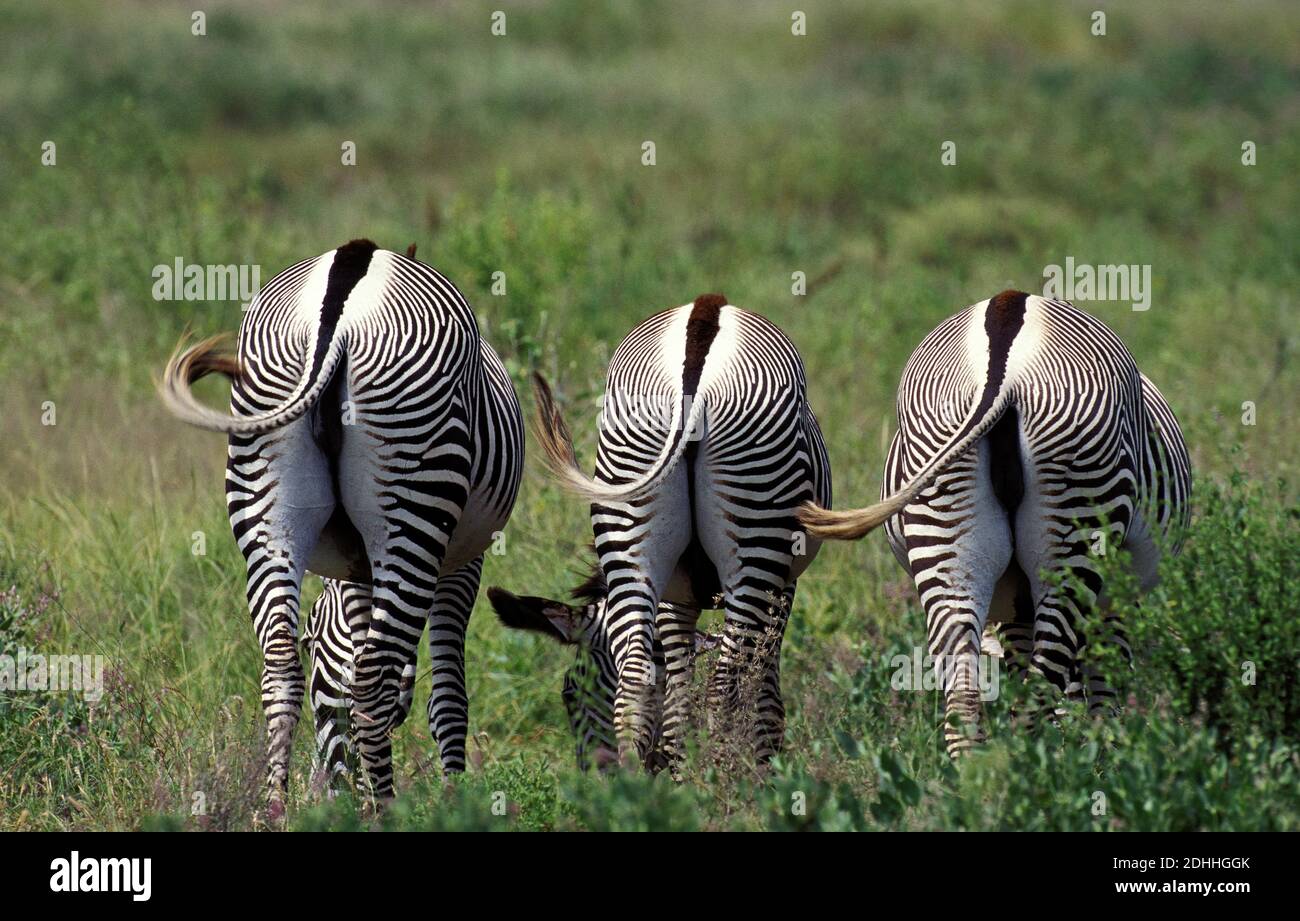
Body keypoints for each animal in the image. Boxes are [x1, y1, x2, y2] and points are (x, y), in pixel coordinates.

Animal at [160, 239, 524, 804]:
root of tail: (336, 315)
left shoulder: (354, 569)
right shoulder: (463, 562)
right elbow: (448, 699)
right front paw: (452, 802)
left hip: (265, 497)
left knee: (283, 667)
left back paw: (278, 809)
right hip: (416, 491)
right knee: (372, 678)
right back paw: (386, 810)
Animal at [488, 294, 831, 769]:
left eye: (567, 695)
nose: (599, 774)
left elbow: (677, 701)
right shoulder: (782, 583)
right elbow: (761, 690)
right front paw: (761, 765)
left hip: (635, 521)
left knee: (636, 686)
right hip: (756, 530)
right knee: (723, 687)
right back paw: (723, 786)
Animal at [800, 291, 1191, 757]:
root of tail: (1004, 376)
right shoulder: (1116, 599)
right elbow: (1101, 686)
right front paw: (1104, 752)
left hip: (943, 529)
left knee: (965, 700)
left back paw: (981, 777)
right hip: (1080, 518)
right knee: (1038, 698)